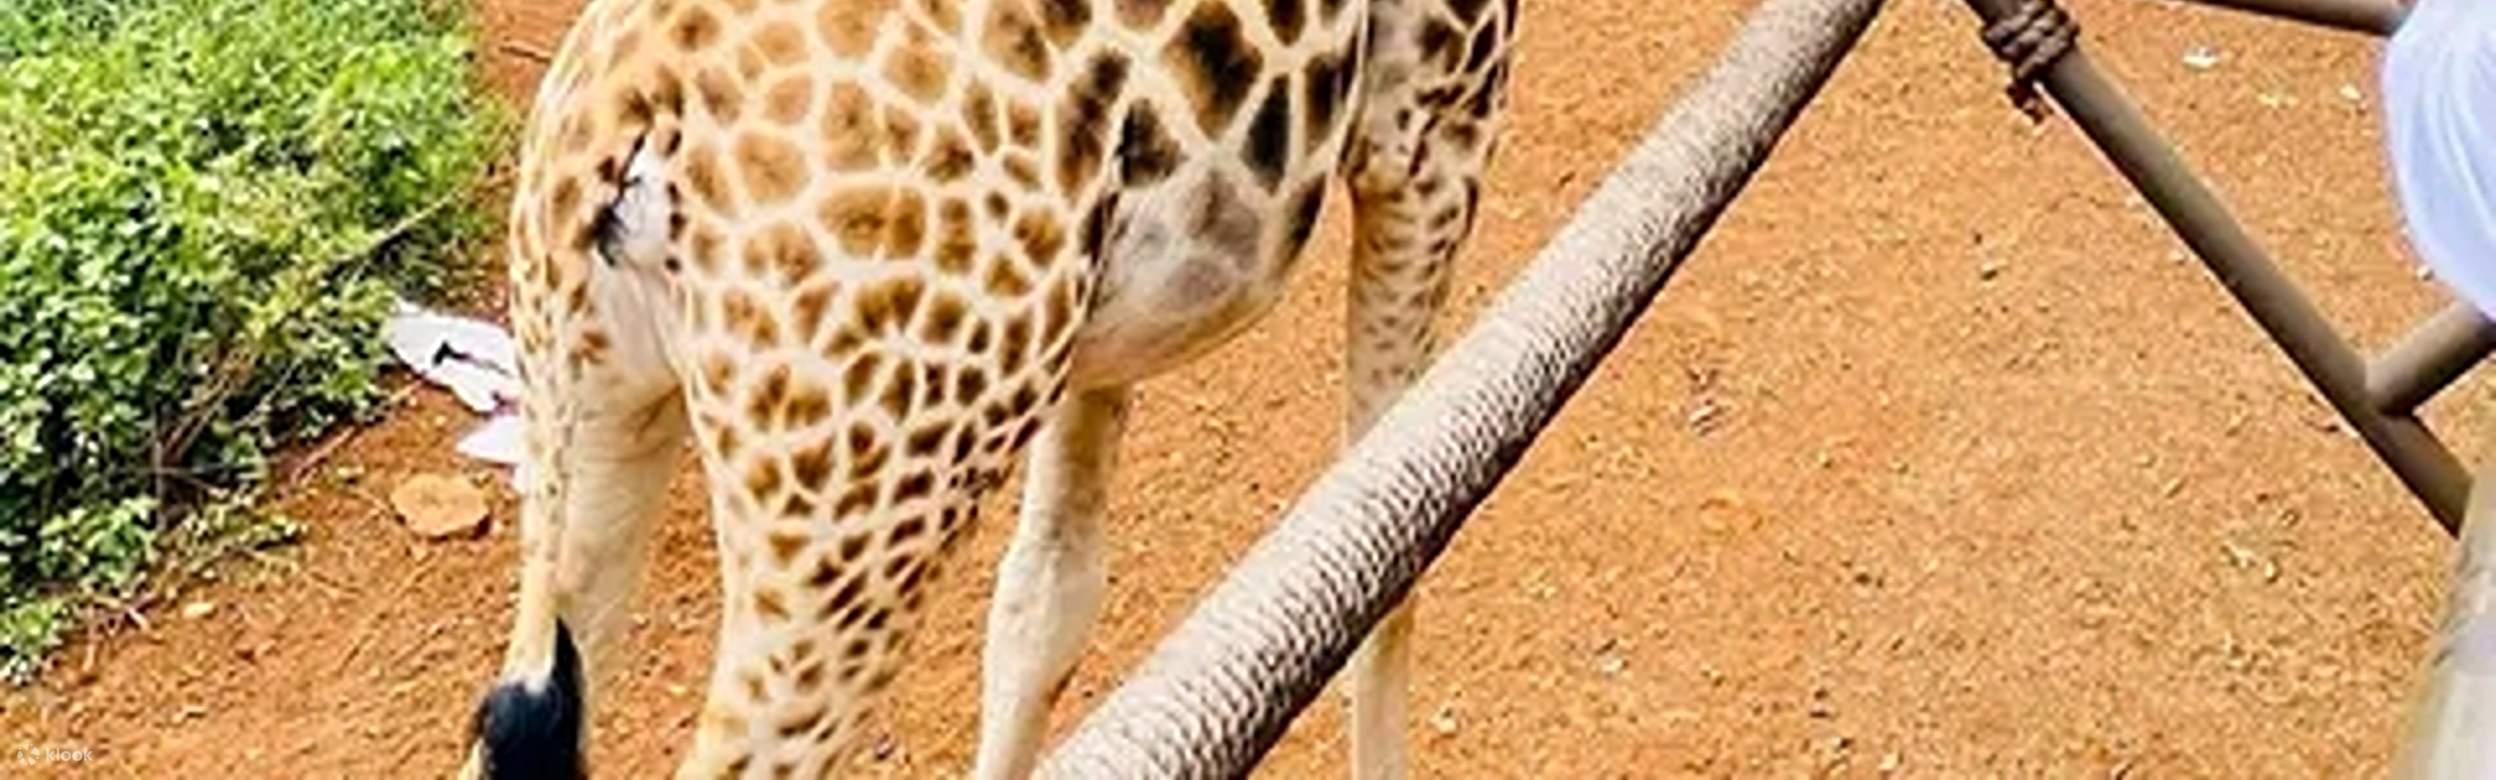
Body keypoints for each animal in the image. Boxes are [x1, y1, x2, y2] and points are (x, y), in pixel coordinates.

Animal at [462, 0, 1517, 775]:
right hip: (855, 531)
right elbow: (1395, 536)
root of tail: (631, 102)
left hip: (594, 412)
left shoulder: (1094, 338)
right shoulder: (1433, 125)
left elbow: (1045, 604)